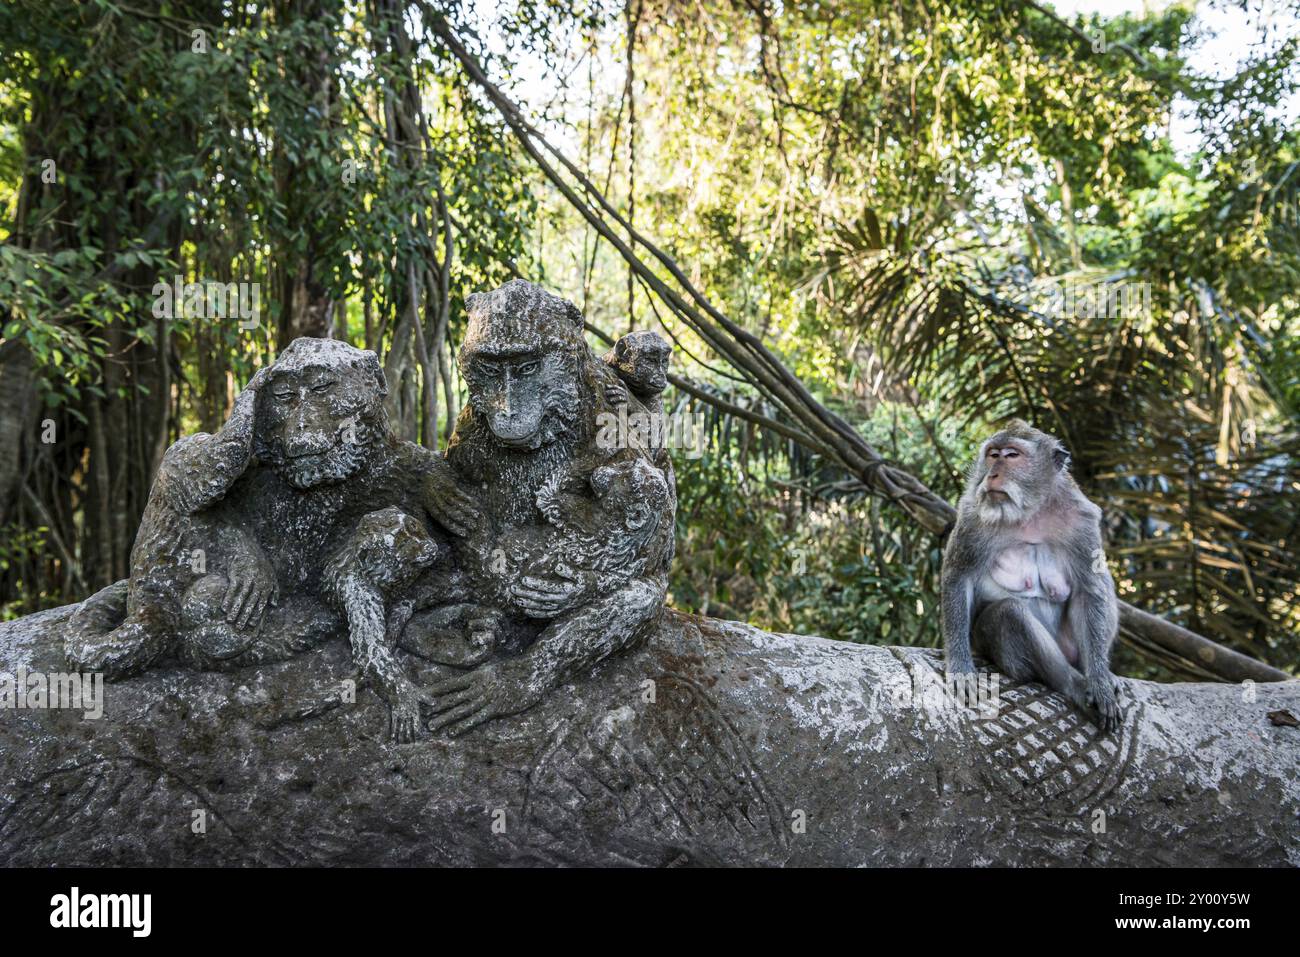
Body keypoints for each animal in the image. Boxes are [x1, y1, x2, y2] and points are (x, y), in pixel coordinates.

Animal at [940, 419, 1122, 730]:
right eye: (992, 454)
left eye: (1012, 455)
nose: (992, 473)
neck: (1031, 511)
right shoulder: (973, 517)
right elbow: (958, 577)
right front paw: (961, 667)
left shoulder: (1082, 520)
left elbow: (1089, 590)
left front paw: (1099, 680)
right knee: (1009, 612)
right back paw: (1073, 684)